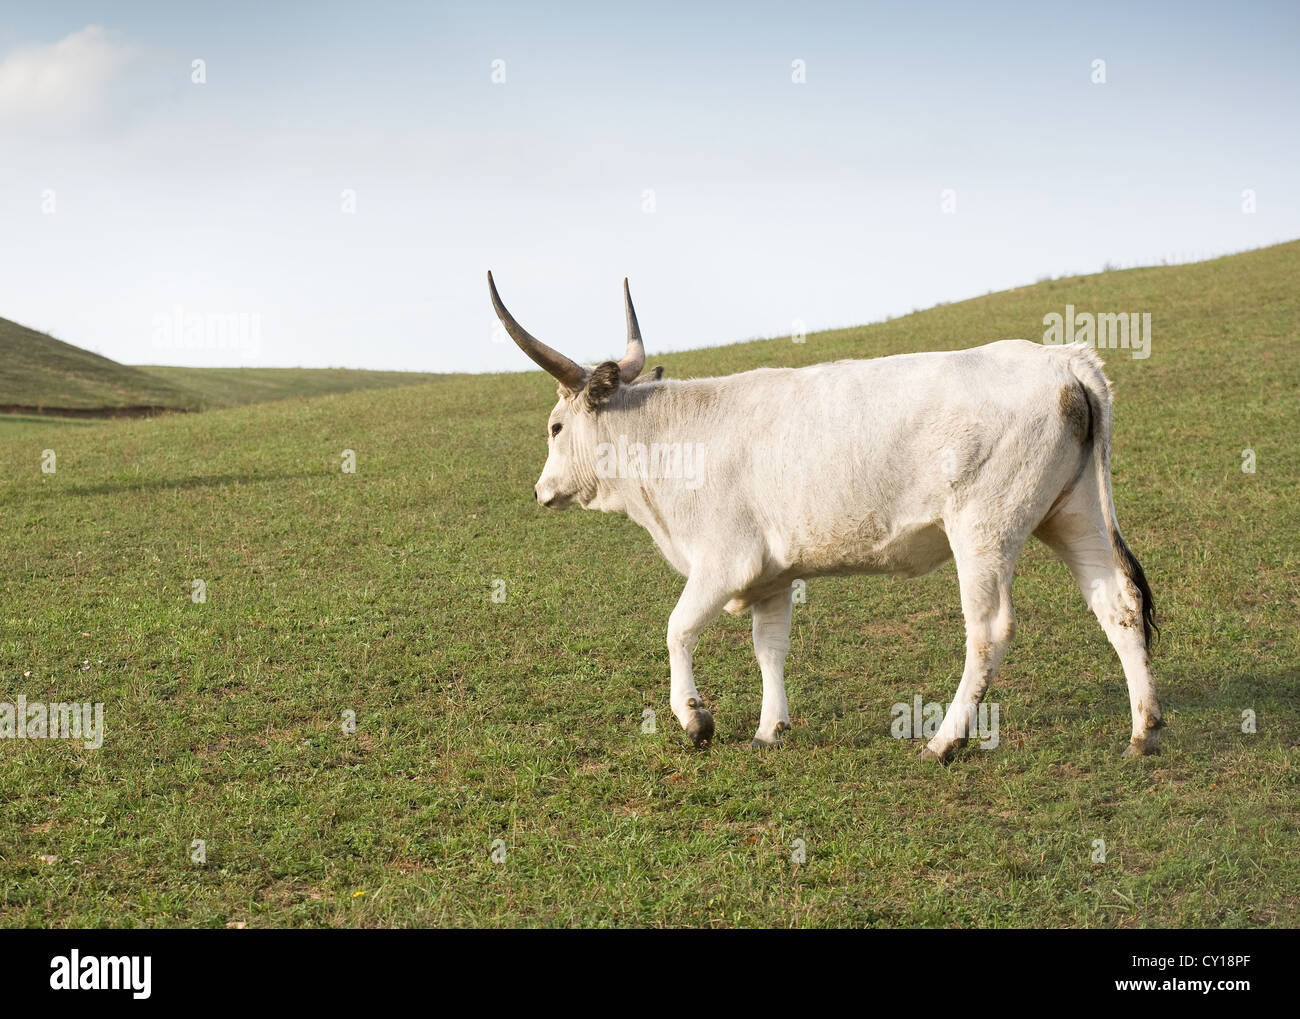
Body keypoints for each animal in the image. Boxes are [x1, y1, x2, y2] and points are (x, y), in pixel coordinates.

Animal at [488, 272, 1163, 761]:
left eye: (555, 427)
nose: (541, 491)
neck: (671, 435)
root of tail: (1064, 360)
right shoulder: (771, 574)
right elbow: (770, 648)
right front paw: (769, 730)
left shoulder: (723, 561)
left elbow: (677, 629)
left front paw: (695, 720)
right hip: (1073, 516)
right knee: (1119, 605)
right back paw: (1143, 731)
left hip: (984, 530)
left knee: (988, 631)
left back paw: (944, 742)